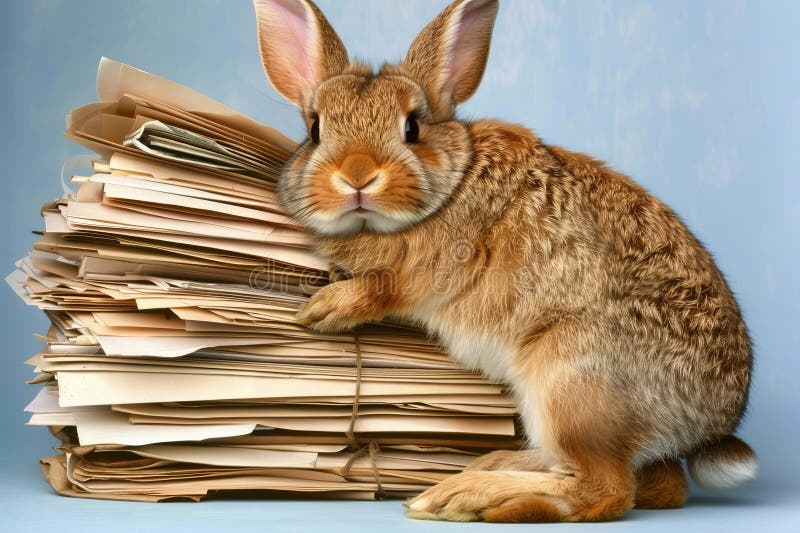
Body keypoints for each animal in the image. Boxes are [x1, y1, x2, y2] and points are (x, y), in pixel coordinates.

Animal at [253, 0, 757, 522]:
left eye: (412, 127)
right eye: (315, 130)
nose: (357, 175)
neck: (451, 184)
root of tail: (713, 423)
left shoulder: (440, 264)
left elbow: (388, 286)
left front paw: (326, 308)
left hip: (570, 378)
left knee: (607, 489)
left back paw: (470, 497)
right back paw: (490, 464)